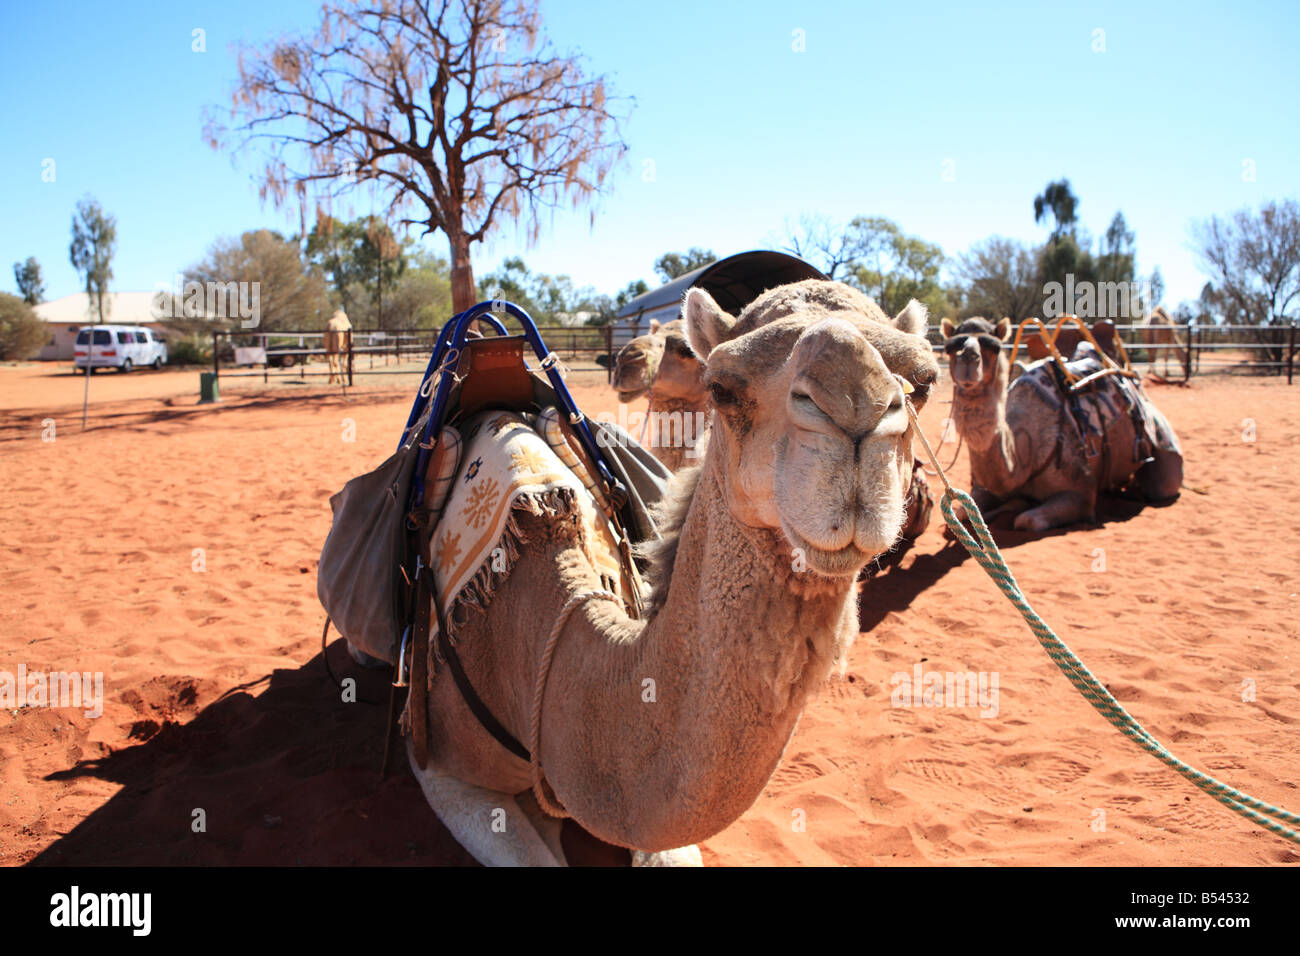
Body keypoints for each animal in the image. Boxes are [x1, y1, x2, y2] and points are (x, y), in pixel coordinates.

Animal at [940, 316, 1183, 531]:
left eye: (993, 346)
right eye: (951, 346)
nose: (968, 357)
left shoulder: (1081, 491)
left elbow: (1027, 520)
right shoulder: (986, 487)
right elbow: (962, 510)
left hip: (1161, 442)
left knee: (1161, 485)